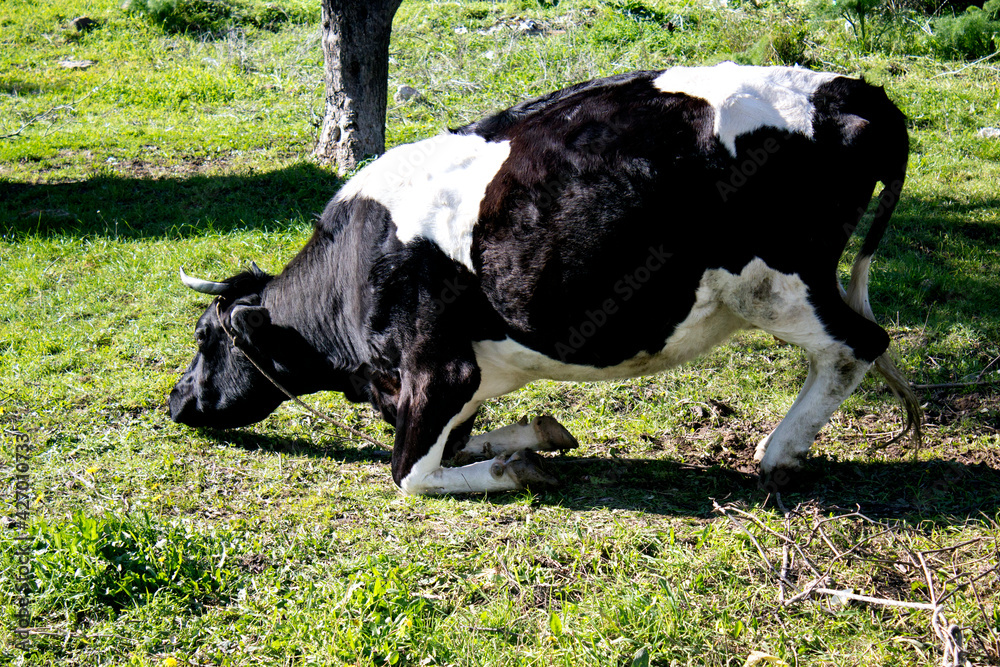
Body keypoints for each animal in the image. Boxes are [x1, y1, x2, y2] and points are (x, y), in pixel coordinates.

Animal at [169, 62, 922, 495]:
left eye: (207, 339)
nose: (174, 400)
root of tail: (851, 91)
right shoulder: (459, 381)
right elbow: (470, 437)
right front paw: (538, 434)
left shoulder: (438, 367)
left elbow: (408, 474)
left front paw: (511, 467)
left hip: (778, 281)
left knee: (857, 344)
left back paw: (778, 451)